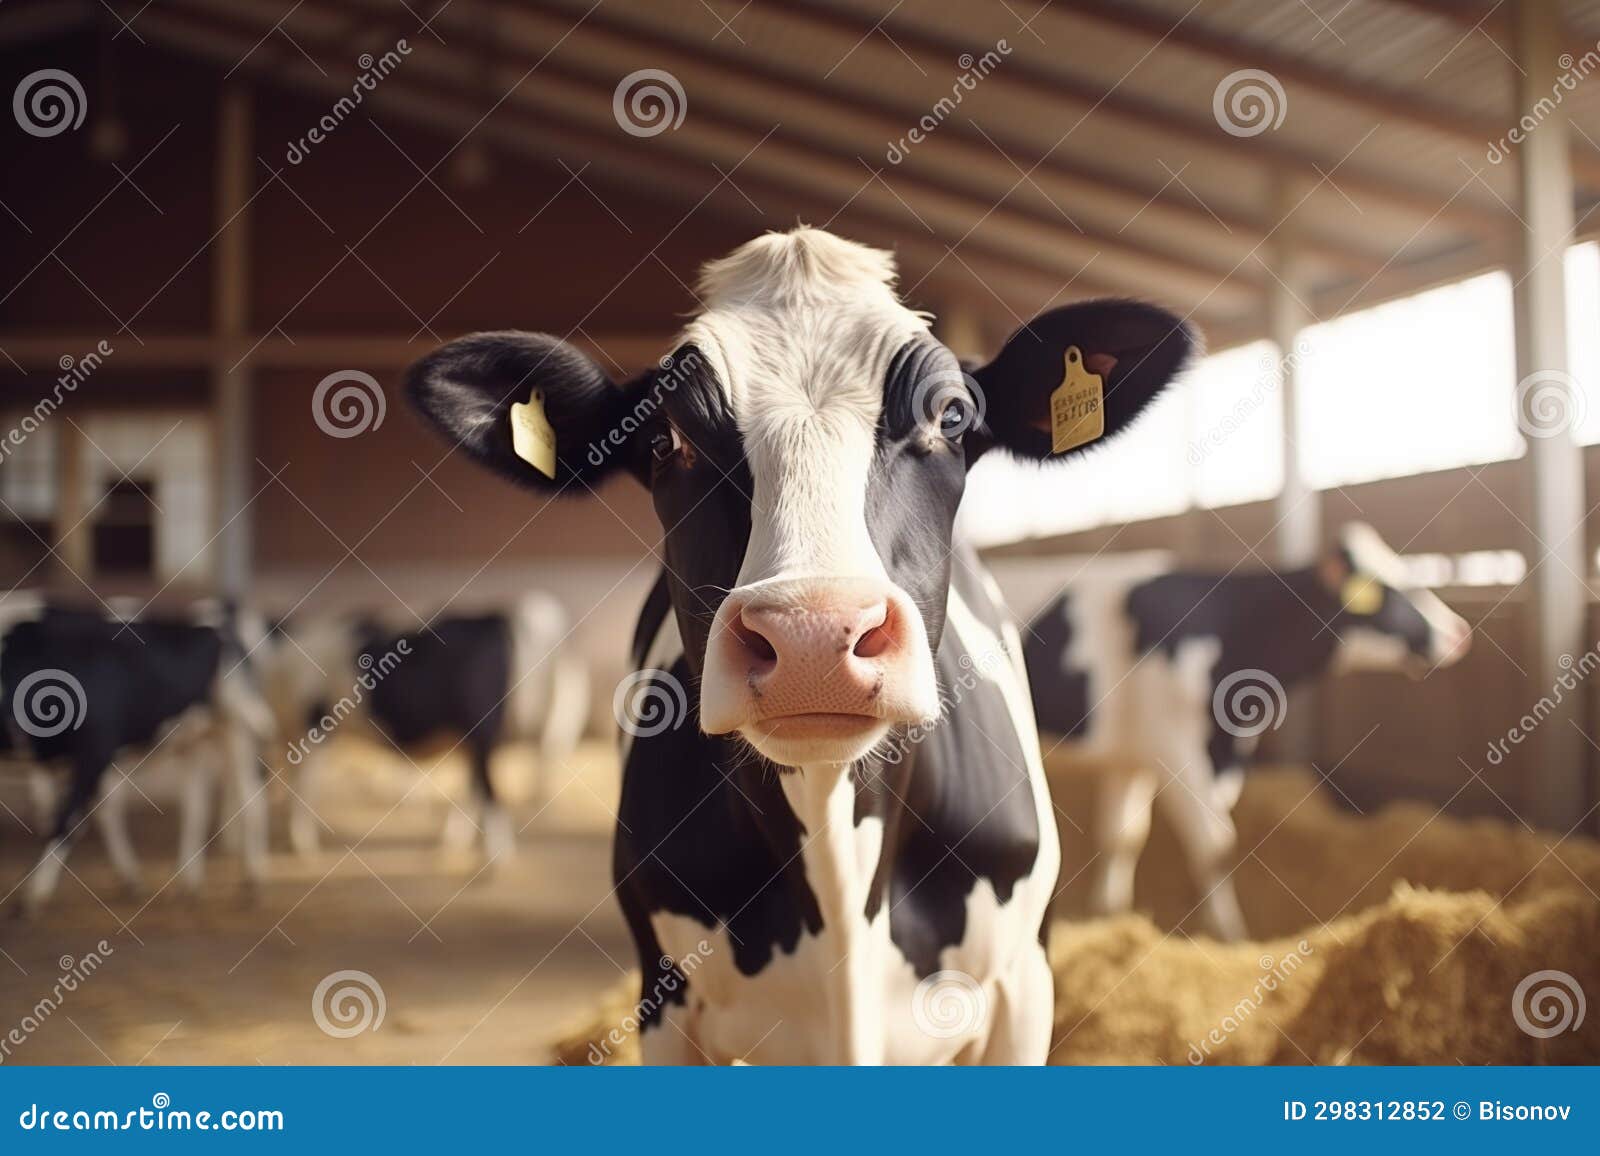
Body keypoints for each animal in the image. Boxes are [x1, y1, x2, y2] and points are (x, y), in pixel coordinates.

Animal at [0, 596, 273, 915]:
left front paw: (33, 895)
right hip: (194, 739)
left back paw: (253, 879)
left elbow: (68, 819)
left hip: (237, 729)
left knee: (251, 798)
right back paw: (188, 883)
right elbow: (83, 812)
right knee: (196, 806)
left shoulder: (97, 745)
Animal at [264, 594, 588, 861]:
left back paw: (491, 854)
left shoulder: (311, 727)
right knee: (479, 783)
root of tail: (495, 617)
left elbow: (302, 785)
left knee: (485, 785)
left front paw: (299, 844)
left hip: (481, 728)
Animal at [1022, 522, 1472, 941]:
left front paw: (1108, 913)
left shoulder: (1135, 756)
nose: (1459, 632)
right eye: (1390, 589)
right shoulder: (1179, 750)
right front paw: (1228, 933)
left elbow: (1123, 838)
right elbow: (1216, 847)